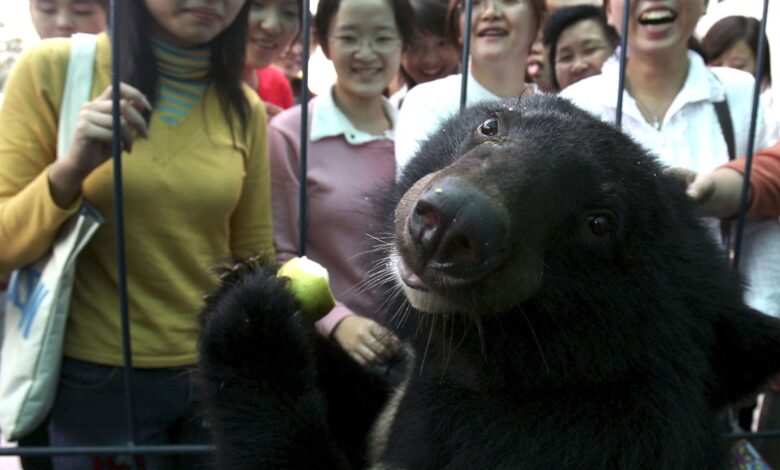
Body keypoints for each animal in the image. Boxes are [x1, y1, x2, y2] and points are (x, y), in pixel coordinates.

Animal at [197, 94, 780, 469]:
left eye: (599, 222)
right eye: (491, 125)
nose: (451, 222)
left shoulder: (570, 440)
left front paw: (251, 323)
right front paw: (242, 281)